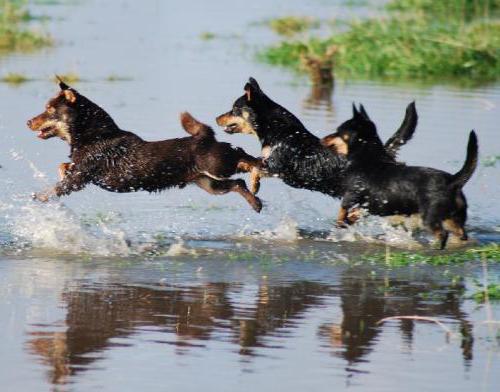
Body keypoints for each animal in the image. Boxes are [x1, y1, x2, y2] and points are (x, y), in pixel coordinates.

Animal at [26, 79, 266, 211]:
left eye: (49, 110)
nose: (28, 121)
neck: (95, 135)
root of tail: (204, 137)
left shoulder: (80, 178)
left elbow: (56, 188)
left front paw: (38, 197)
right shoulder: (80, 173)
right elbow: (62, 167)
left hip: (217, 166)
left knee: (243, 155)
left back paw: (257, 171)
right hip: (210, 183)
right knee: (238, 183)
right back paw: (255, 201)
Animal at [217, 77, 416, 199]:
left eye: (234, 109)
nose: (216, 118)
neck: (278, 130)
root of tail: (382, 154)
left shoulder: (277, 166)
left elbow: (255, 168)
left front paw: (254, 185)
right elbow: (252, 163)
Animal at [320, 106, 476, 248]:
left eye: (339, 131)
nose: (322, 139)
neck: (368, 155)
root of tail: (452, 181)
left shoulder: (350, 197)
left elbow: (341, 215)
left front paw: (340, 227)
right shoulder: (368, 205)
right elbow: (354, 214)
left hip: (430, 217)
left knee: (442, 234)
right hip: (453, 217)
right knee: (461, 234)